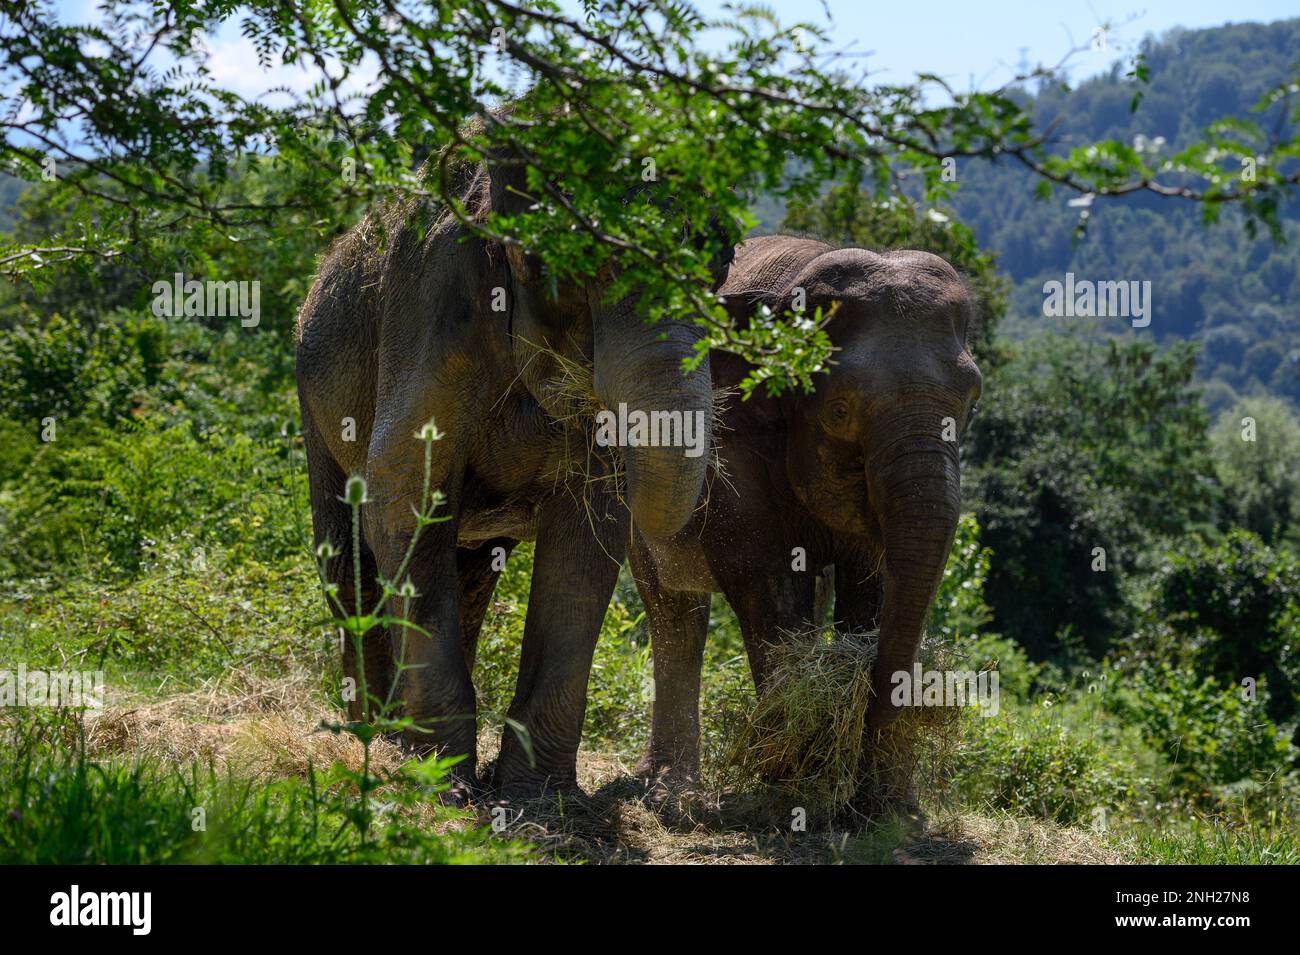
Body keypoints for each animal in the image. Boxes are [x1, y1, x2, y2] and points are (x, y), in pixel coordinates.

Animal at [294, 149, 726, 799]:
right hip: (312, 403)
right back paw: (377, 738)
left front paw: (536, 797)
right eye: (591, 270)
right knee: (352, 566)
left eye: (718, 279)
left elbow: (587, 533)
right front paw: (438, 783)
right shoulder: (433, 298)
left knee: (470, 572)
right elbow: (402, 490)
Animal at [627, 234, 982, 803]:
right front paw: (791, 787)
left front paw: (879, 801)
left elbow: (872, 582)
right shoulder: (731, 439)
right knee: (674, 611)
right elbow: (767, 581)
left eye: (972, 405)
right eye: (839, 411)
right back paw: (668, 788)